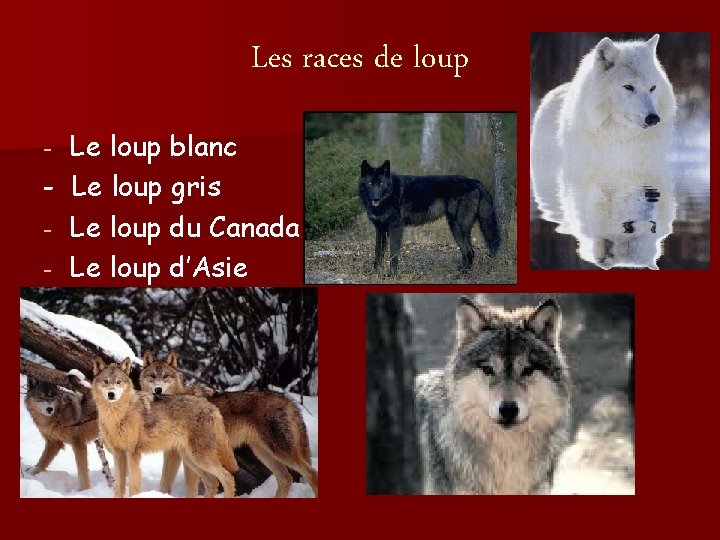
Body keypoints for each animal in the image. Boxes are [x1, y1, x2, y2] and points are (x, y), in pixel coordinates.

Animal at [92, 357, 239, 498]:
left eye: (118, 382)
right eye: (105, 381)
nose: (111, 394)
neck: (117, 416)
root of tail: (211, 406)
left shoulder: (132, 453)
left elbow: (133, 486)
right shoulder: (118, 454)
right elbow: (118, 487)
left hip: (200, 458)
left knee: (227, 477)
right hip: (190, 459)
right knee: (212, 482)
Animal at [140, 351, 318, 498]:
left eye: (165, 376)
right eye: (152, 376)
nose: (158, 389)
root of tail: (288, 400)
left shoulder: (185, 461)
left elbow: (190, 488)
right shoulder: (173, 455)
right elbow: (164, 483)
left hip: (278, 452)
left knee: (310, 473)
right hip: (262, 453)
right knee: (286, 478)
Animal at [358, 160, 500, 276]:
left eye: (381, 183)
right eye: (370, 183)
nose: (376, 198)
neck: (389, 194)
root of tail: (475, 181)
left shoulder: (395, 228)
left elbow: (393, 254)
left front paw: (392, 275)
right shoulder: (380, 230)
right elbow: (378, 253)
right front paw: (375, 273)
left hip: (459, 228)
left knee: (470, 251)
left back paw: (462, 275)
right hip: (455, 227)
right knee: (466, 251)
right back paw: (461, 271)